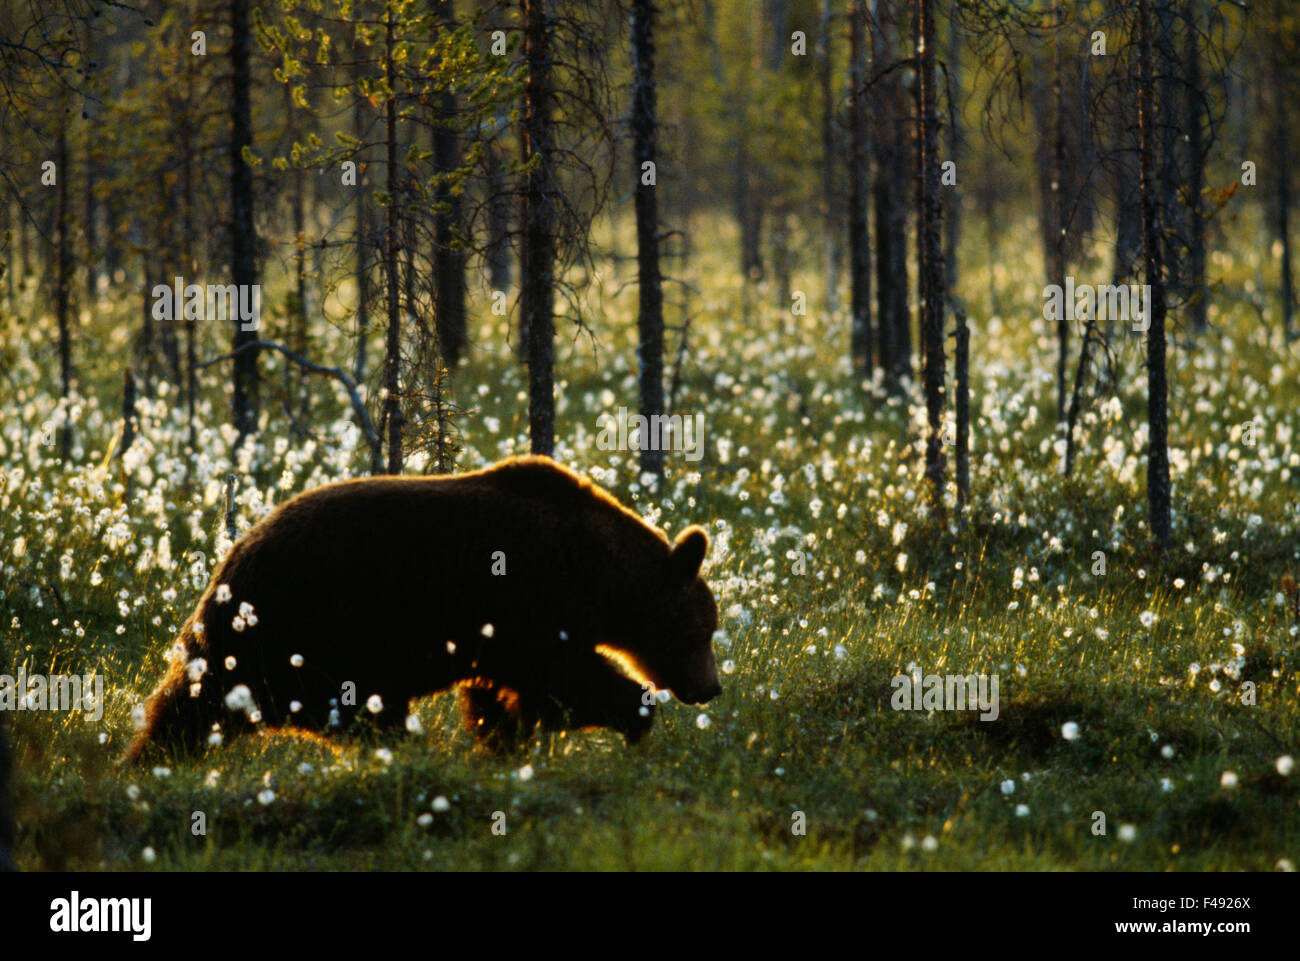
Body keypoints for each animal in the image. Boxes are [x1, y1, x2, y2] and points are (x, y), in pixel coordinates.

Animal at [124, 455, 719, 763]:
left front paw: (501, 744)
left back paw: (149, 757)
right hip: (317, 634)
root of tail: (226, 569)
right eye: (702, 633)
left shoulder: (498, 632)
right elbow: (563, 680)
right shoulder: (531, 607)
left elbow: (498, 695)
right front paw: (636, 712)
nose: (711, 687)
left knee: (185, 707)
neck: (596, 572)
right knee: (355, 709)